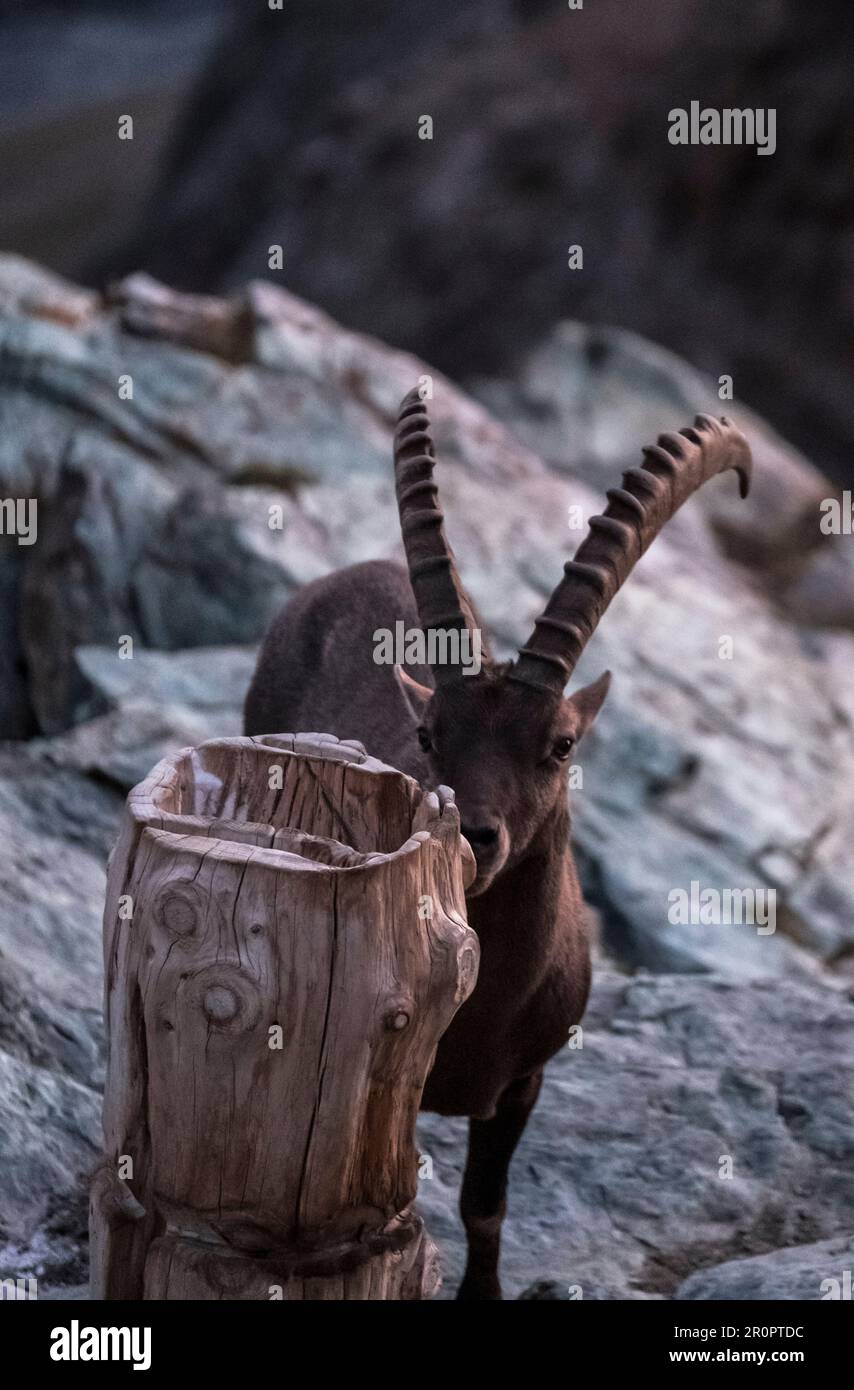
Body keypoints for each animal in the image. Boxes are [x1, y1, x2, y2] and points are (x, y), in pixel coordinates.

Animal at [244, 387, 752, 1299]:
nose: (476, 835)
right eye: (429, 735)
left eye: (560, 745)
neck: (489, 1002)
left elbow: (485, 1206)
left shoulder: (524, 1081)